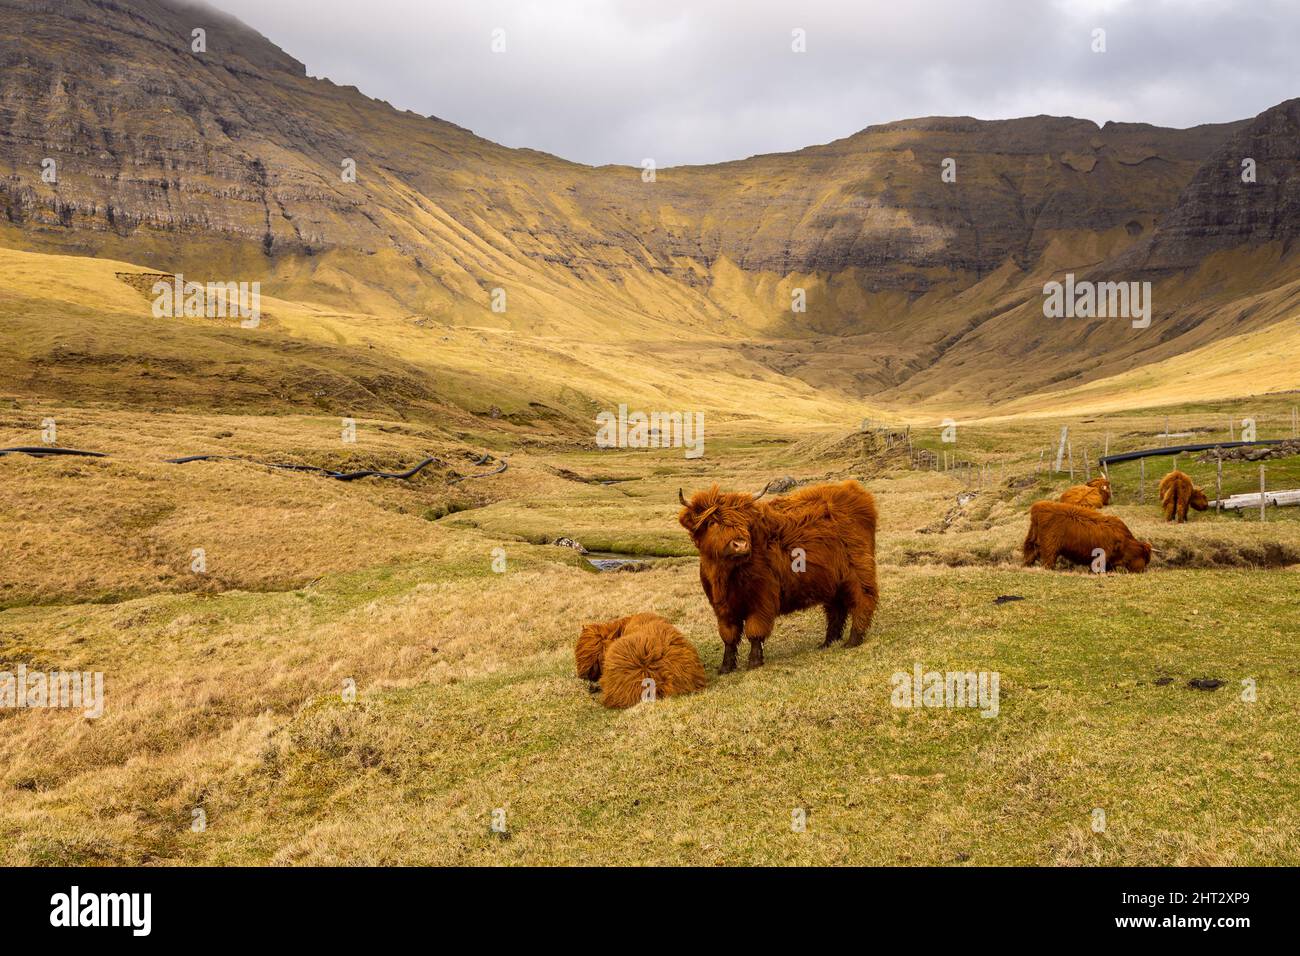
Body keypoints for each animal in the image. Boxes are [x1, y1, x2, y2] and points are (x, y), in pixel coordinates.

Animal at [678, 480, 878, 674]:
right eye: (712, 523)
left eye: (744, 522)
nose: (741, 545)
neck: (725, 576)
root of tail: (854, 490)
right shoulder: (722, 609)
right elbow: (729, 637)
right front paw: (726, 667)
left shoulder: (761, 600)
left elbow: (755, 631)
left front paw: (754, 662)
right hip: (832, 580)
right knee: (836, 610)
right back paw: (828, 642)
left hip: (858, 571)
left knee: (863, 600)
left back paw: (853, 640)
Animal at [1022, 501, 1151, 572]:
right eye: (1144, 558)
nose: (1141, 570)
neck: (1125, 542)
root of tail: (1038, 506)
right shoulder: (1102, 556)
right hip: (1050, 548)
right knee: (1047, 561)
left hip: (1034, 540)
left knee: (1030, 552)